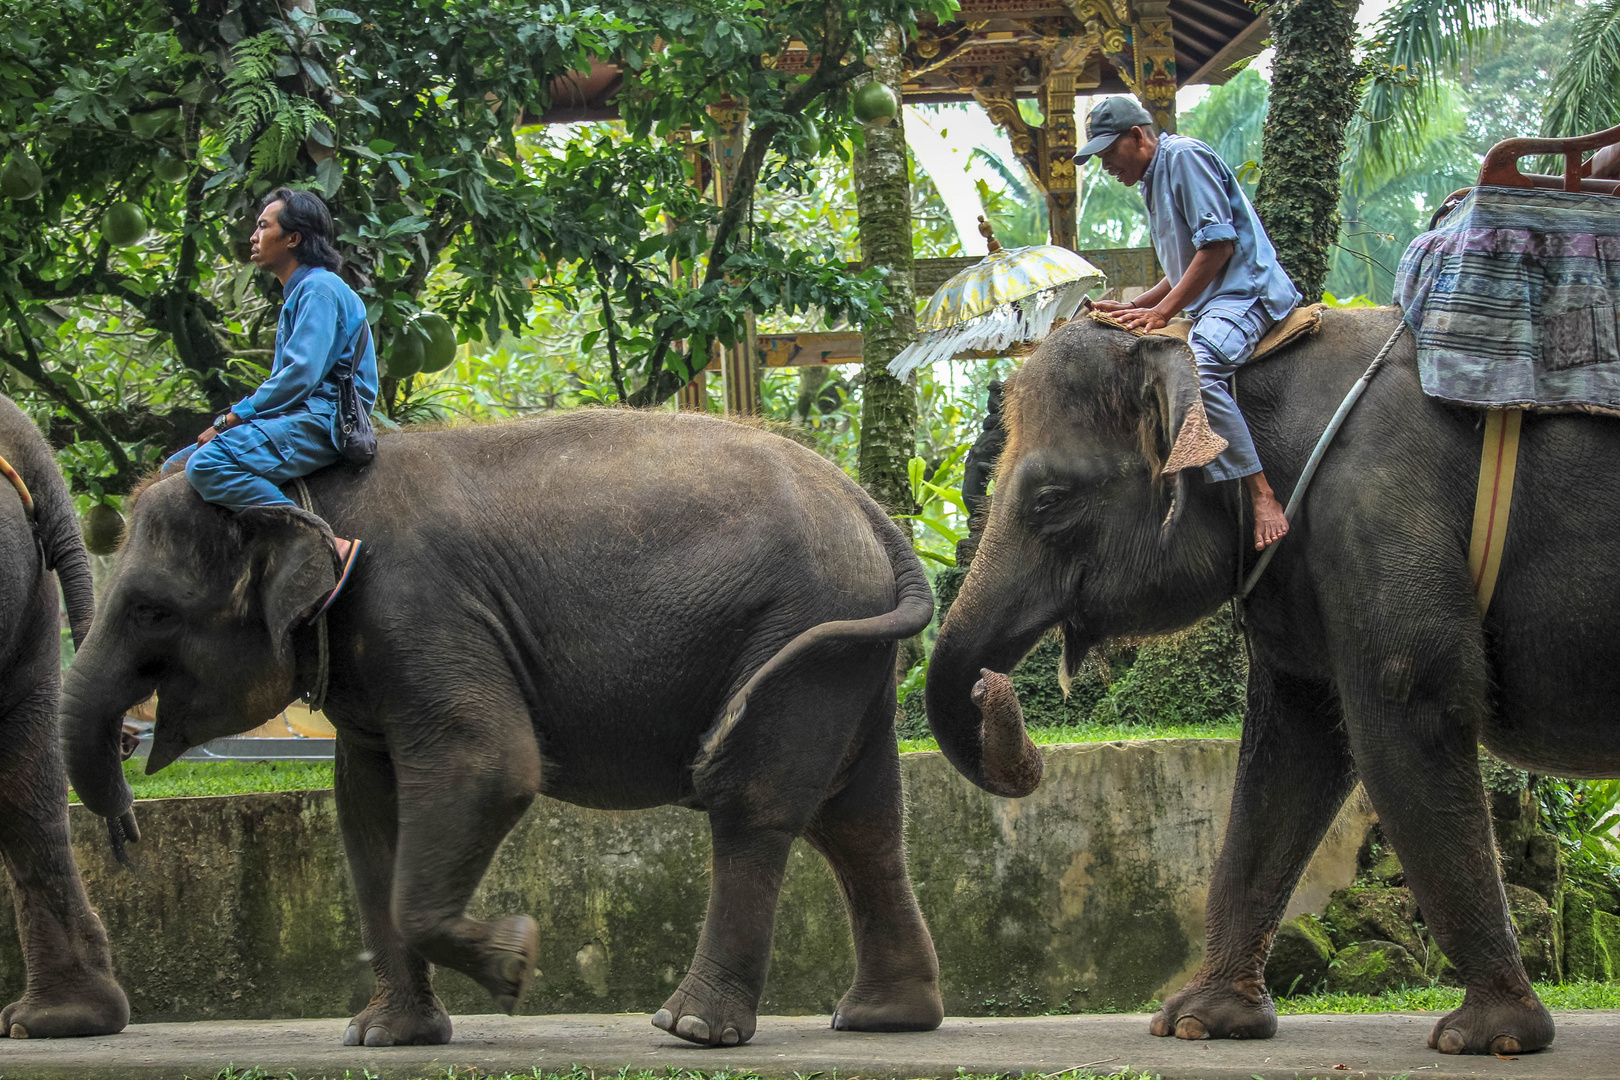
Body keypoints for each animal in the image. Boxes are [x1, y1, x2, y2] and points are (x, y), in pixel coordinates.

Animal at [62, 409, 944, 1048]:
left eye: (149, 610)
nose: (126, 834)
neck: (302, 494)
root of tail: (870, 508)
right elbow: (367, 818)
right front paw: (385, 1038)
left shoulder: (416, 607)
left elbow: (489, 765)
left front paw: (518, 961)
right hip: (846, 653)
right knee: (859, 821)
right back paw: (881, 1019)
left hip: (802, 630)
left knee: (755, 803)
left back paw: (690, 1027)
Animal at [924, 306, 1620, 1056]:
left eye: (1050, 500)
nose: (990, 688)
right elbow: (1293, 747)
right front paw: (1198, 1022)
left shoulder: (1378, 513)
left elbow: (1407, 714)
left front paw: (1491, 1037)